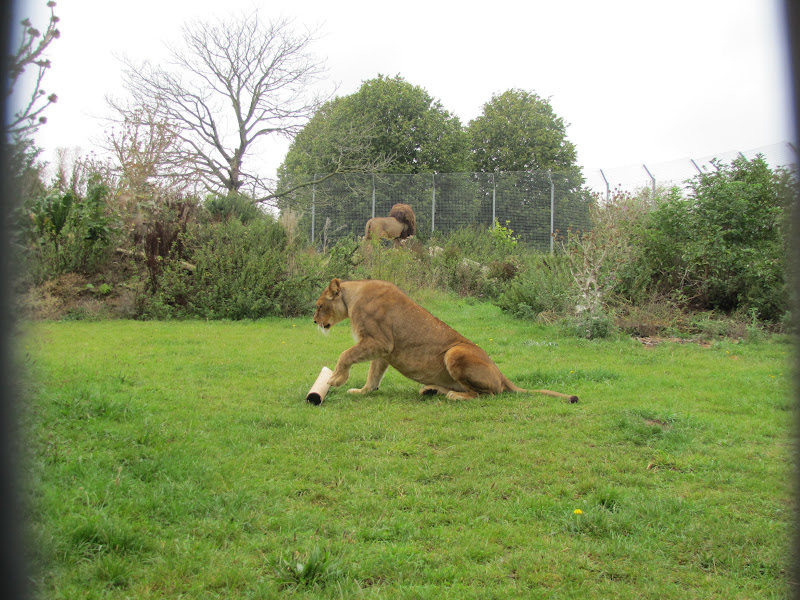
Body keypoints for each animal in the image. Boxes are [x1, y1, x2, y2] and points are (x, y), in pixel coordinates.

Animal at [313, 278, 579, 402]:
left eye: (319, 305)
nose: (314, 321)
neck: (352, 297)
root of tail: (500, 373)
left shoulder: (380, 342)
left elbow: (345, 354)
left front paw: (335, 379)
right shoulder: (383, 351)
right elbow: (374, 375)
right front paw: (363, 391)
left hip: (454, 352)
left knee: (487, 394)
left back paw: (453, 395)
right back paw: (431, 390)